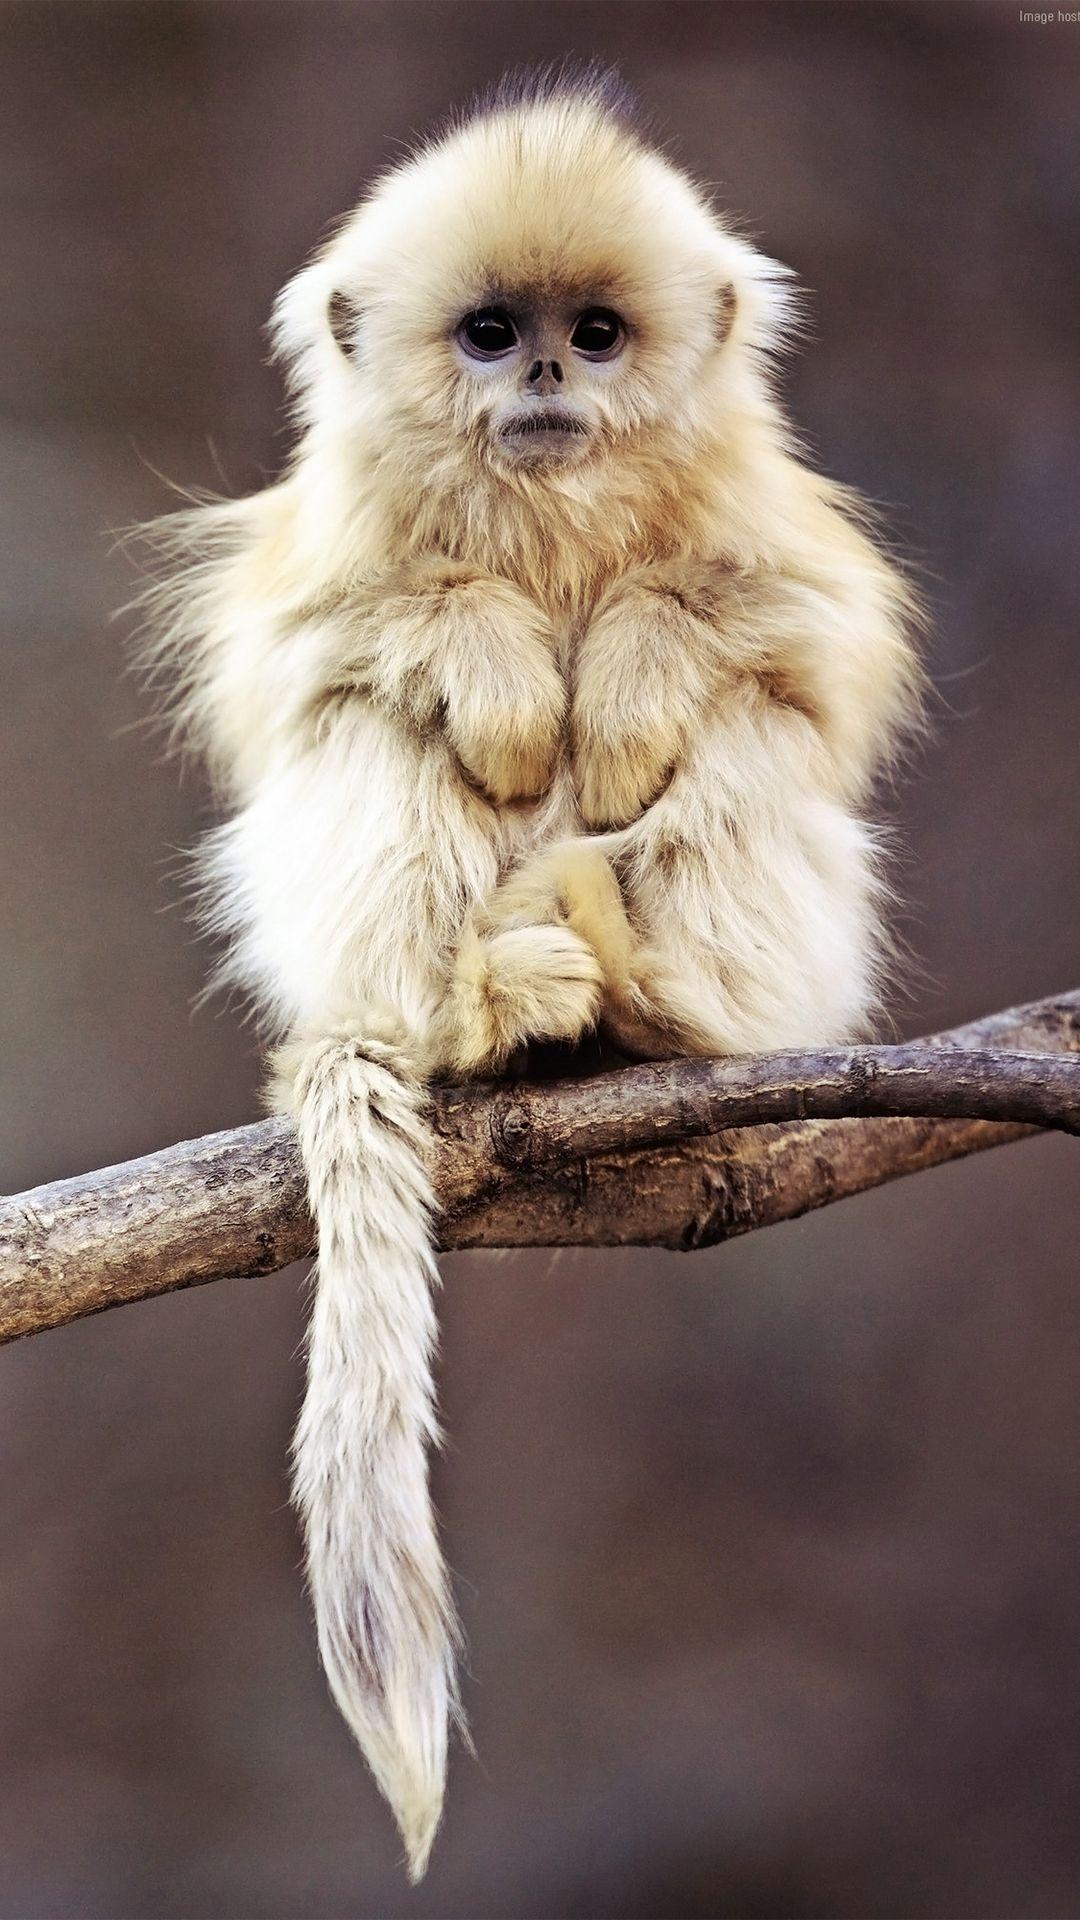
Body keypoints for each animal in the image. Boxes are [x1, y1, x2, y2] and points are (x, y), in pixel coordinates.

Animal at [140, 67, 921, 1879]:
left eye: (598, 333)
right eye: (492, 333)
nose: (550, 378)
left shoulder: (777, 535)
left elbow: (803, 644)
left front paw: (623, 681)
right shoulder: (325, 554)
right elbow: (320, 655)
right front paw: (501, 671)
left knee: (750, 727)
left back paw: (647, 1001)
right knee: (371, 726)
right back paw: (487, 1012)